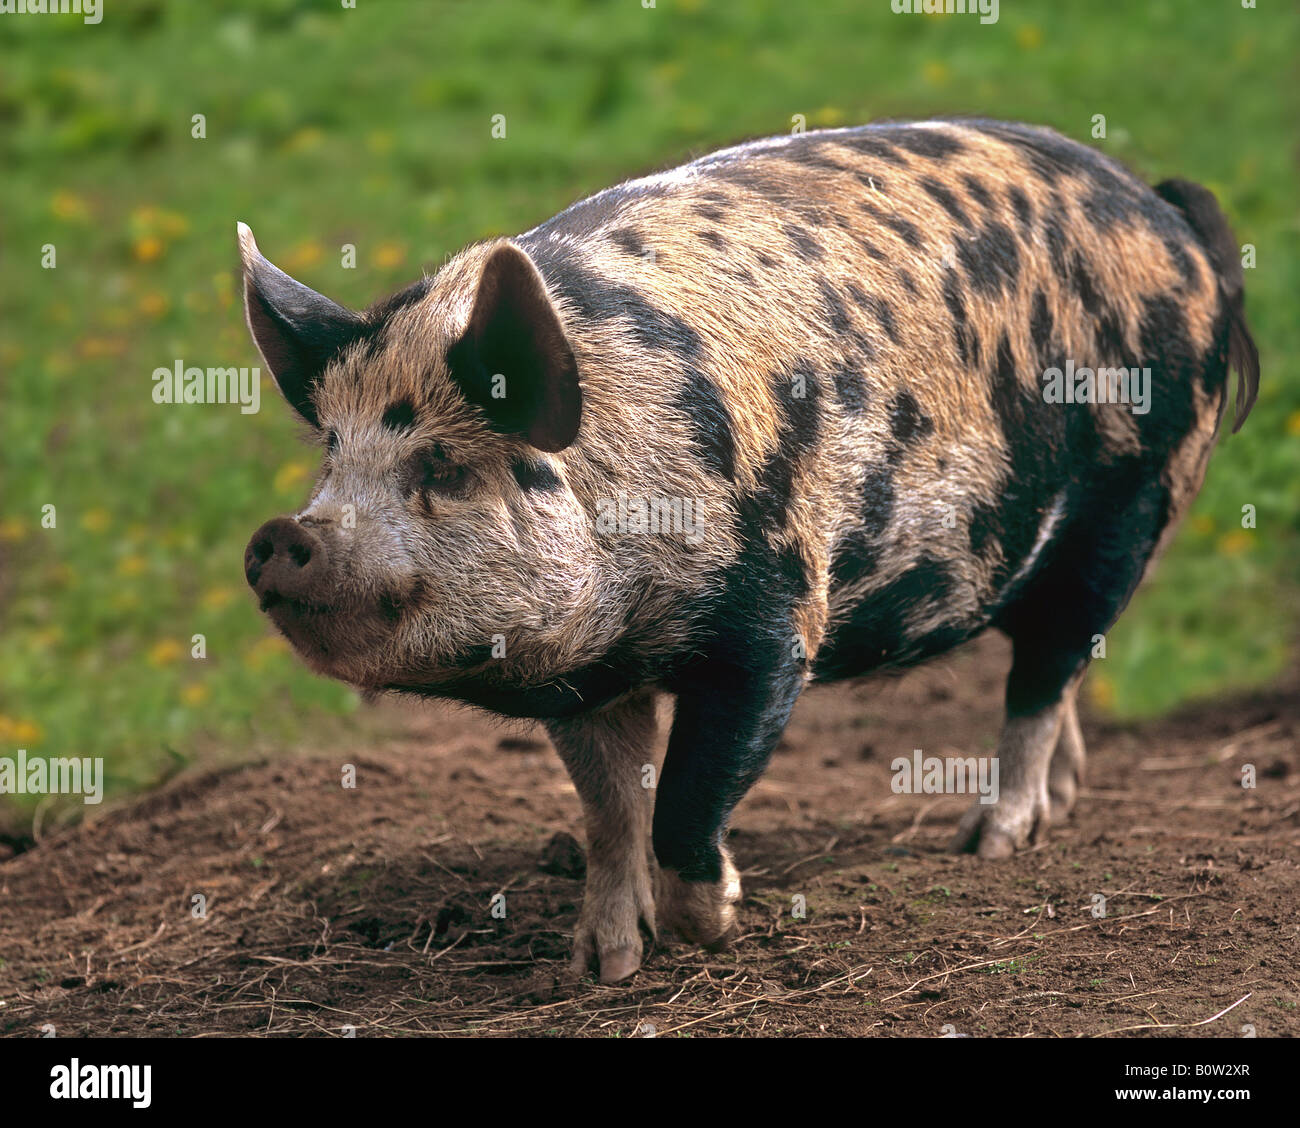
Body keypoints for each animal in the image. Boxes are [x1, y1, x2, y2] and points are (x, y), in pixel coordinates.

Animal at [240, 118, 1258, 984]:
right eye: (332, 452)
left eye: (443, 465)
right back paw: (1061, 802)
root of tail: (1169, 217)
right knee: (1057, 654)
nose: (281, 534)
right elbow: (611, 807)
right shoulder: (582, 671)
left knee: (1048, 663)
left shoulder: (774, 620)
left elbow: (689, 796)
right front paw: (602, 964)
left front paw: (715, 921)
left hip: (1132, 497)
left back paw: (992, 840)